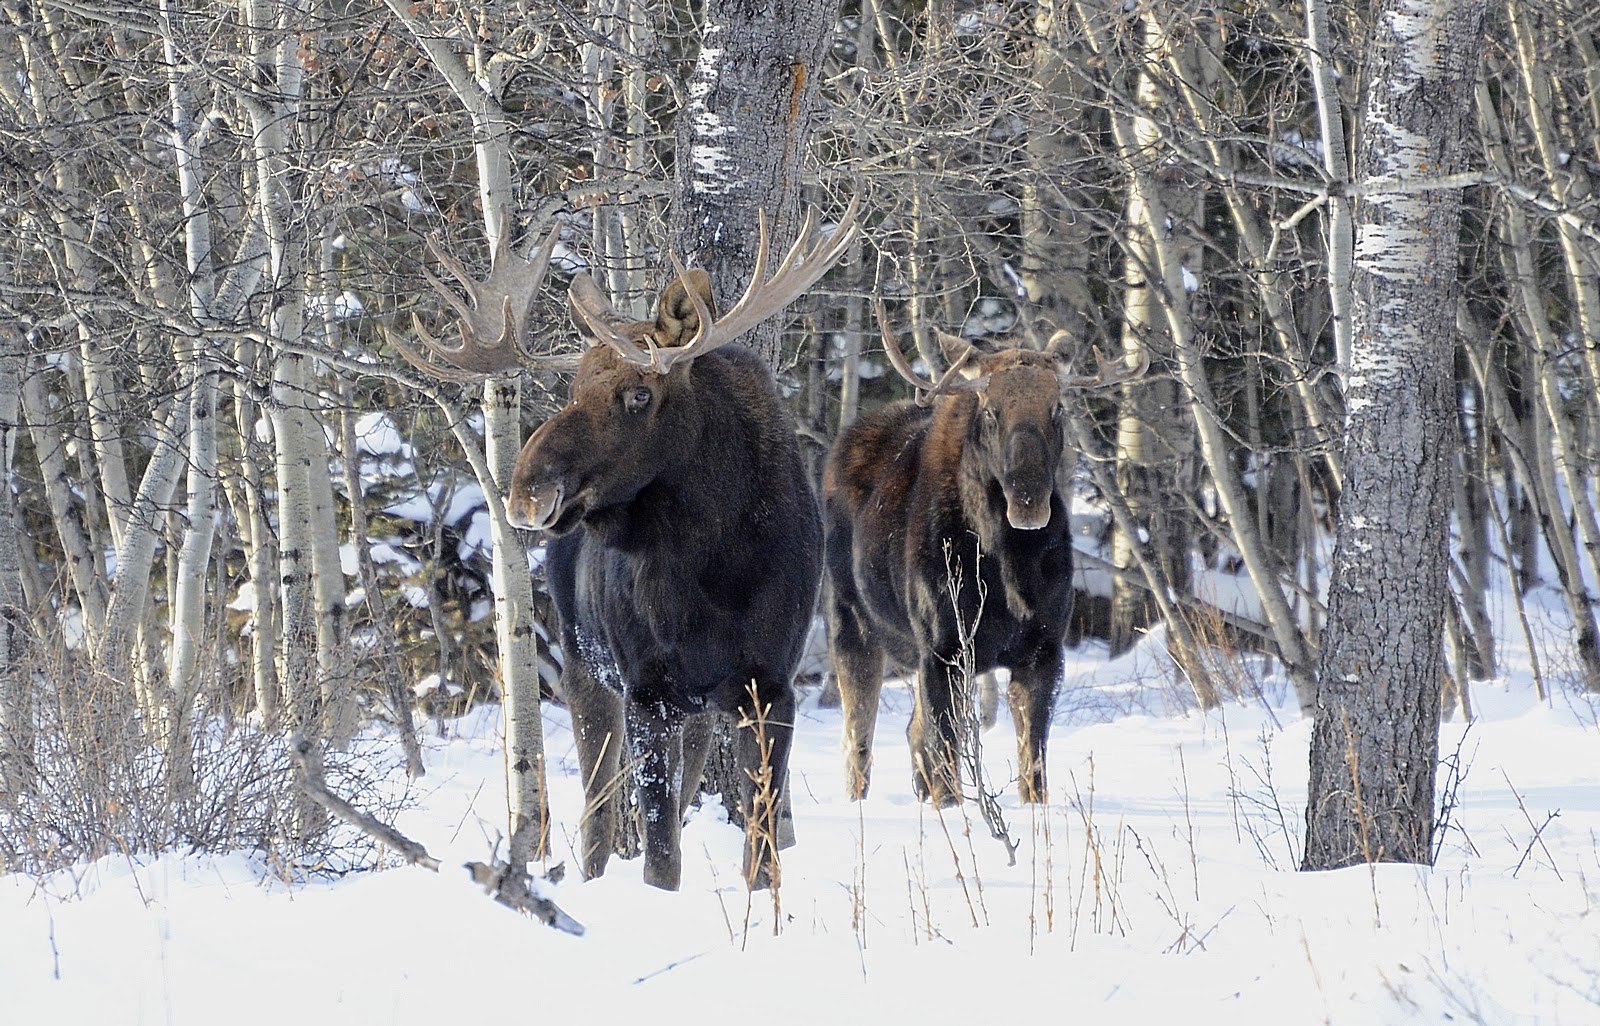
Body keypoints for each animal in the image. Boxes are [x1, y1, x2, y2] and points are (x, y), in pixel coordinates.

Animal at [397, 200, 859, 890]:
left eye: (639, 393)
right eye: (572, 391)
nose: (527, 490)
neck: (714, 566)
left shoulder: (770, 688)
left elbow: (761, 850)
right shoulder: (646, 689)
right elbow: (659, 857)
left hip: (697, 711)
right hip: (585, 671)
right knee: (596, 819)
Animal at [822, 307, 1145, 807]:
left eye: (1058, 408)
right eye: (991, 410)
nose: (1028, 501)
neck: (1009, 569)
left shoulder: (1044, 649)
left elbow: (1033, 768)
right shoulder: (942, 648)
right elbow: (949, 765)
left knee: (912, 734)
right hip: (850, 621)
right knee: (858, 742)